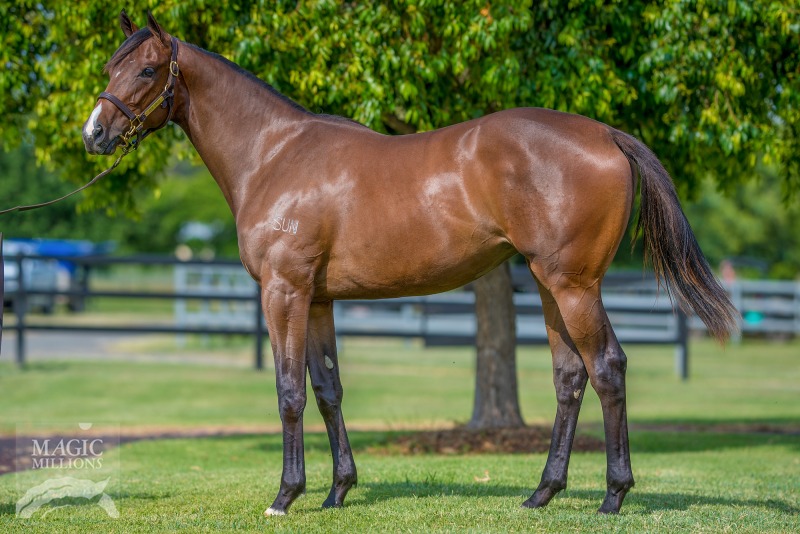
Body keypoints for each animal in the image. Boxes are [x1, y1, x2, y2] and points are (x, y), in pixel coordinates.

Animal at [83, 12, 738, 516]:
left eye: (146, 70)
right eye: (110, 69)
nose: (94, 134)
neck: (274, 154)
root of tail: (604, 133)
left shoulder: (283, 291)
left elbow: (290, 391)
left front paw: (286, 496)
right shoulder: (317, 299)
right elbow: (328, 389)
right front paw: (338, 492)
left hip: (574, 286)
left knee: (607, 369)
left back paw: (612, 497)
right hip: (549, 285)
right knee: (569, 378)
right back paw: (542, 494)